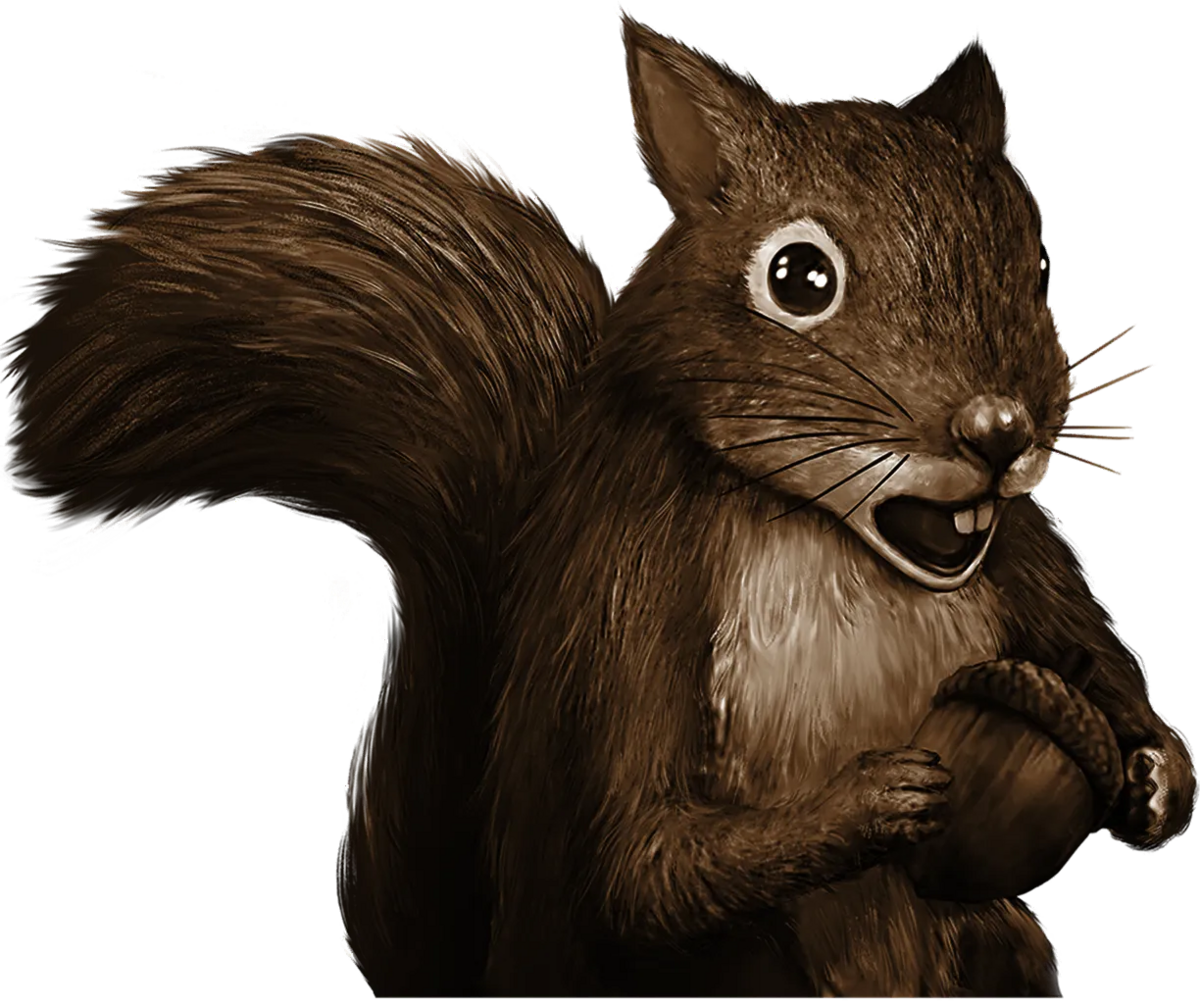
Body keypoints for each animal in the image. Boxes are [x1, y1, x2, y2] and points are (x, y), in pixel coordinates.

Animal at [3, 8, 1195, 1000]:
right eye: (799, 279)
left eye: (1035, 257)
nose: (998, 431)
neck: (839, 544)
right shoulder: (629, 597)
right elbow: (639, 854)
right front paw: (878, 797)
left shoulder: (1030, 555)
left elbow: (1105, 668)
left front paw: (1155, 775)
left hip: (993, 949)